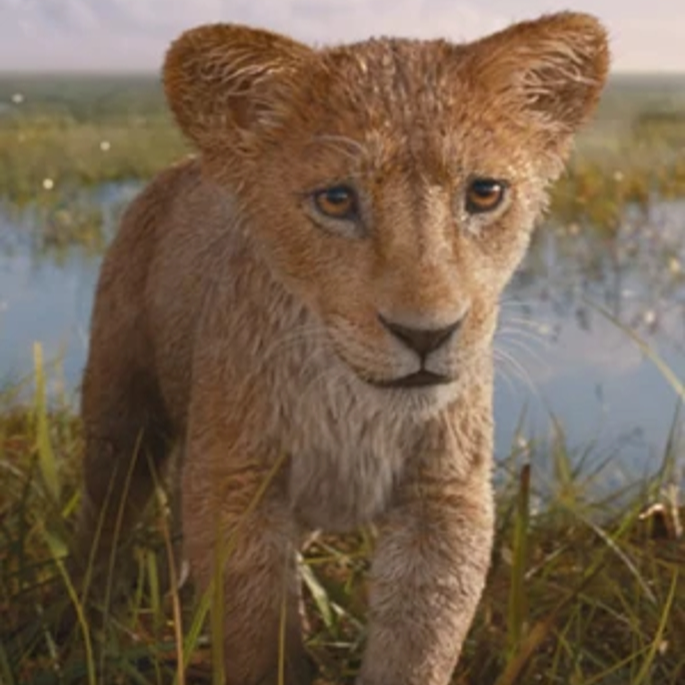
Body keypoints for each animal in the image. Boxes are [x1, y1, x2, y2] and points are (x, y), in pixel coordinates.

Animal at [74, 12, 609, 685]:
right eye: (336, 199)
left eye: (485, 193)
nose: (426, 334)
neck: (353, 402)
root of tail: (183, 164)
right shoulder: (237, 483)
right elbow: (257, 641)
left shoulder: (445, 498)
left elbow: (416, 648)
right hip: (122, 406)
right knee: (105, 517)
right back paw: (86, 624)